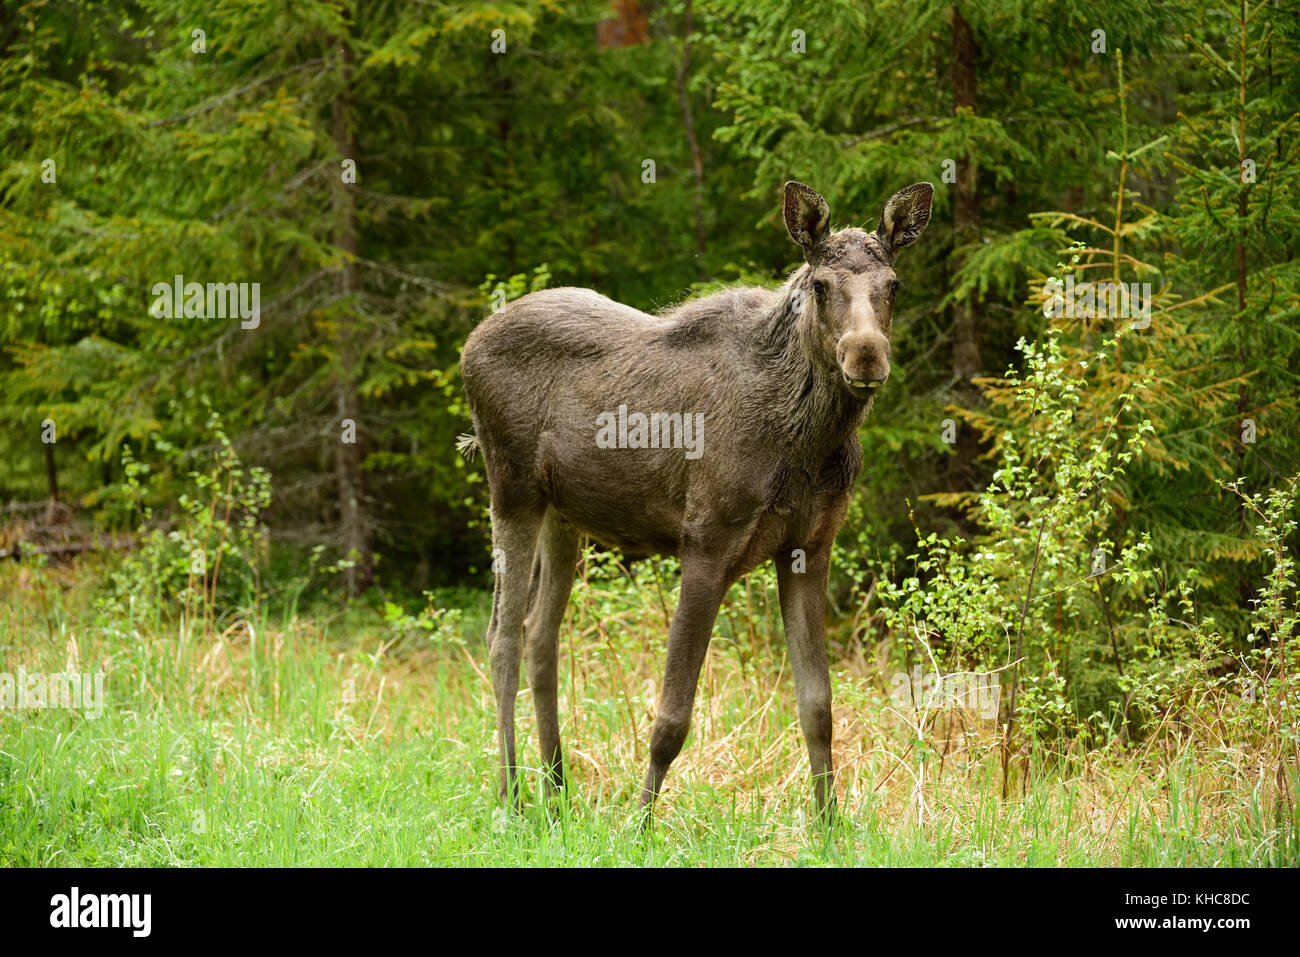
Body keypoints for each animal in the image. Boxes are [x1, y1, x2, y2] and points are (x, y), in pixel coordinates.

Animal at [459, 180, 933, 822]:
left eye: (894, 285)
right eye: (819, 285)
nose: (866, 356)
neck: (806, 438)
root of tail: (469, 344)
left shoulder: (810, 550)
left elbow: (818, 707)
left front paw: (831, 825)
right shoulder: (705, 546)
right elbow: (671, 719)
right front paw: (638, 824)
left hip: (565, 515)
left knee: (540, 636)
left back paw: (557, 790)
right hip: (511, 491)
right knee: (501, 637)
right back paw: (512, 795)